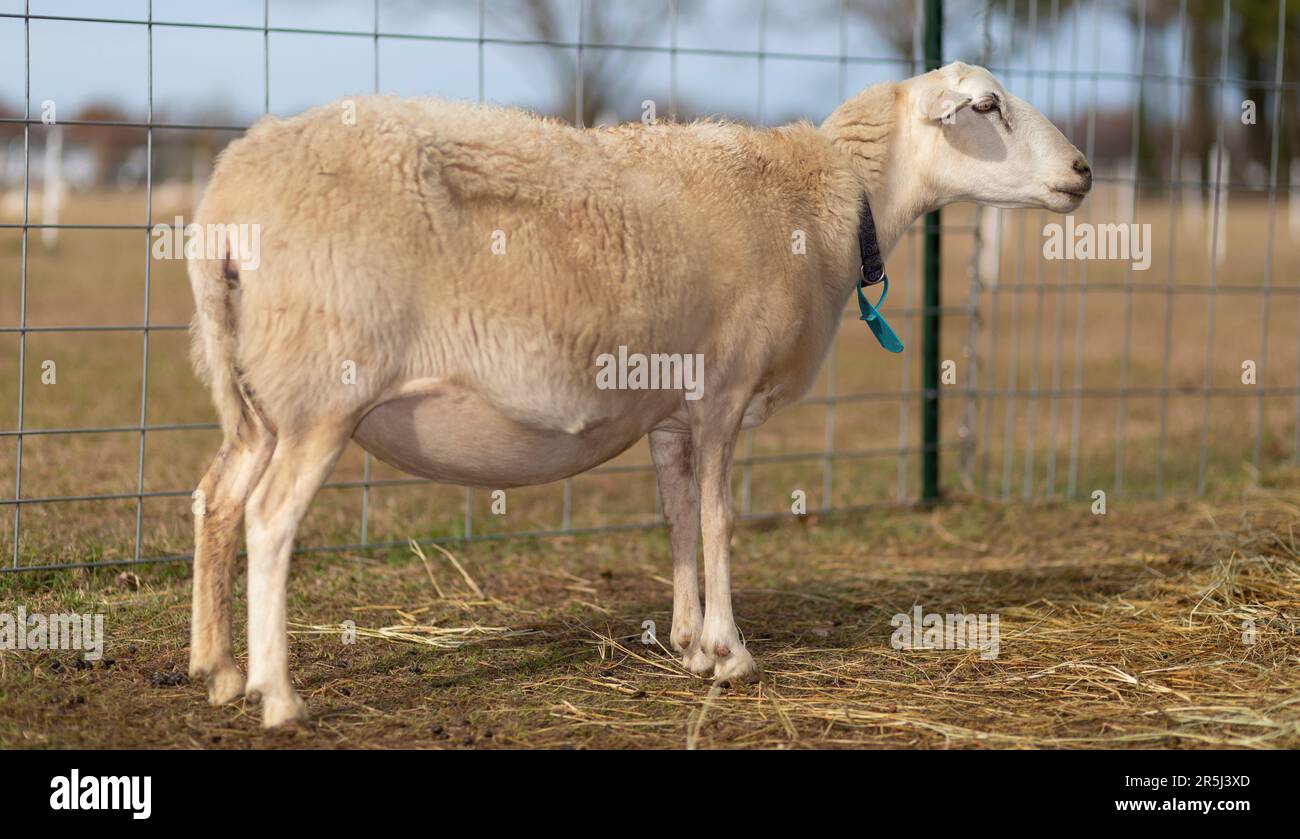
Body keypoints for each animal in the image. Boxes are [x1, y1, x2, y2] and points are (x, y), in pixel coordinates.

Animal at [186, 60, 1092, 728]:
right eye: (988, 106)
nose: (1083, 171)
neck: (823, 200)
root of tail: (229, 200)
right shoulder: (726, 387)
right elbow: (720, 519)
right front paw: (732, 654)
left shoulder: (672, 411)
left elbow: (679, 515)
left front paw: (689, 642)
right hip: (322, 389)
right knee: (269, 520)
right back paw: (279, 697)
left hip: (257, 393)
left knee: (216, 499)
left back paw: (220, 669)